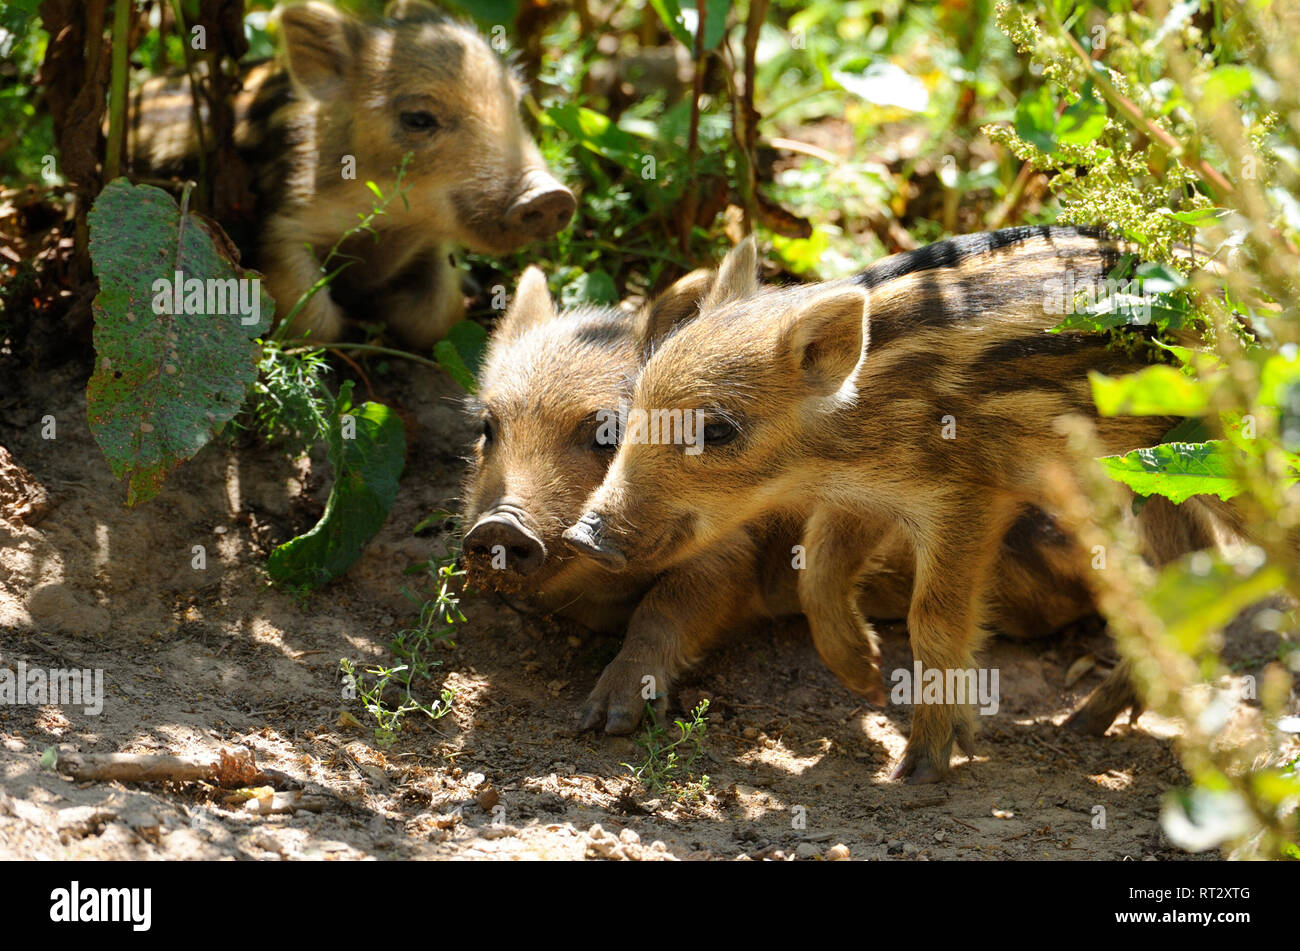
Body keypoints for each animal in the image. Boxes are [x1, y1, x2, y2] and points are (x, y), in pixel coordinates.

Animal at [128, 0, 574, 349]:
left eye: (516, 101)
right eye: (418, 118)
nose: (552, 196)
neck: (395, 223)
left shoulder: (431, 244)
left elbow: (437, 316)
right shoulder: (283, 226)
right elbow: (314, 318)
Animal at [462, 256, 1105, 735]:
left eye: (605, 432)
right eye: (488, 427)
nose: (498, 526)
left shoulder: (733, 558)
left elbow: (663, 611)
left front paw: (604, 721)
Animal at [563, 226, 1241, 780]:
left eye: (719, 430)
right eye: (636, 404)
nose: (583, 537)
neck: (851, 433)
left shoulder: (968, 498)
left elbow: (932, 617)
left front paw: (921, 767)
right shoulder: (867, 496)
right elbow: (819, 572)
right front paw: (864, 677)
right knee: (1192, 573)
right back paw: (1087, 723)